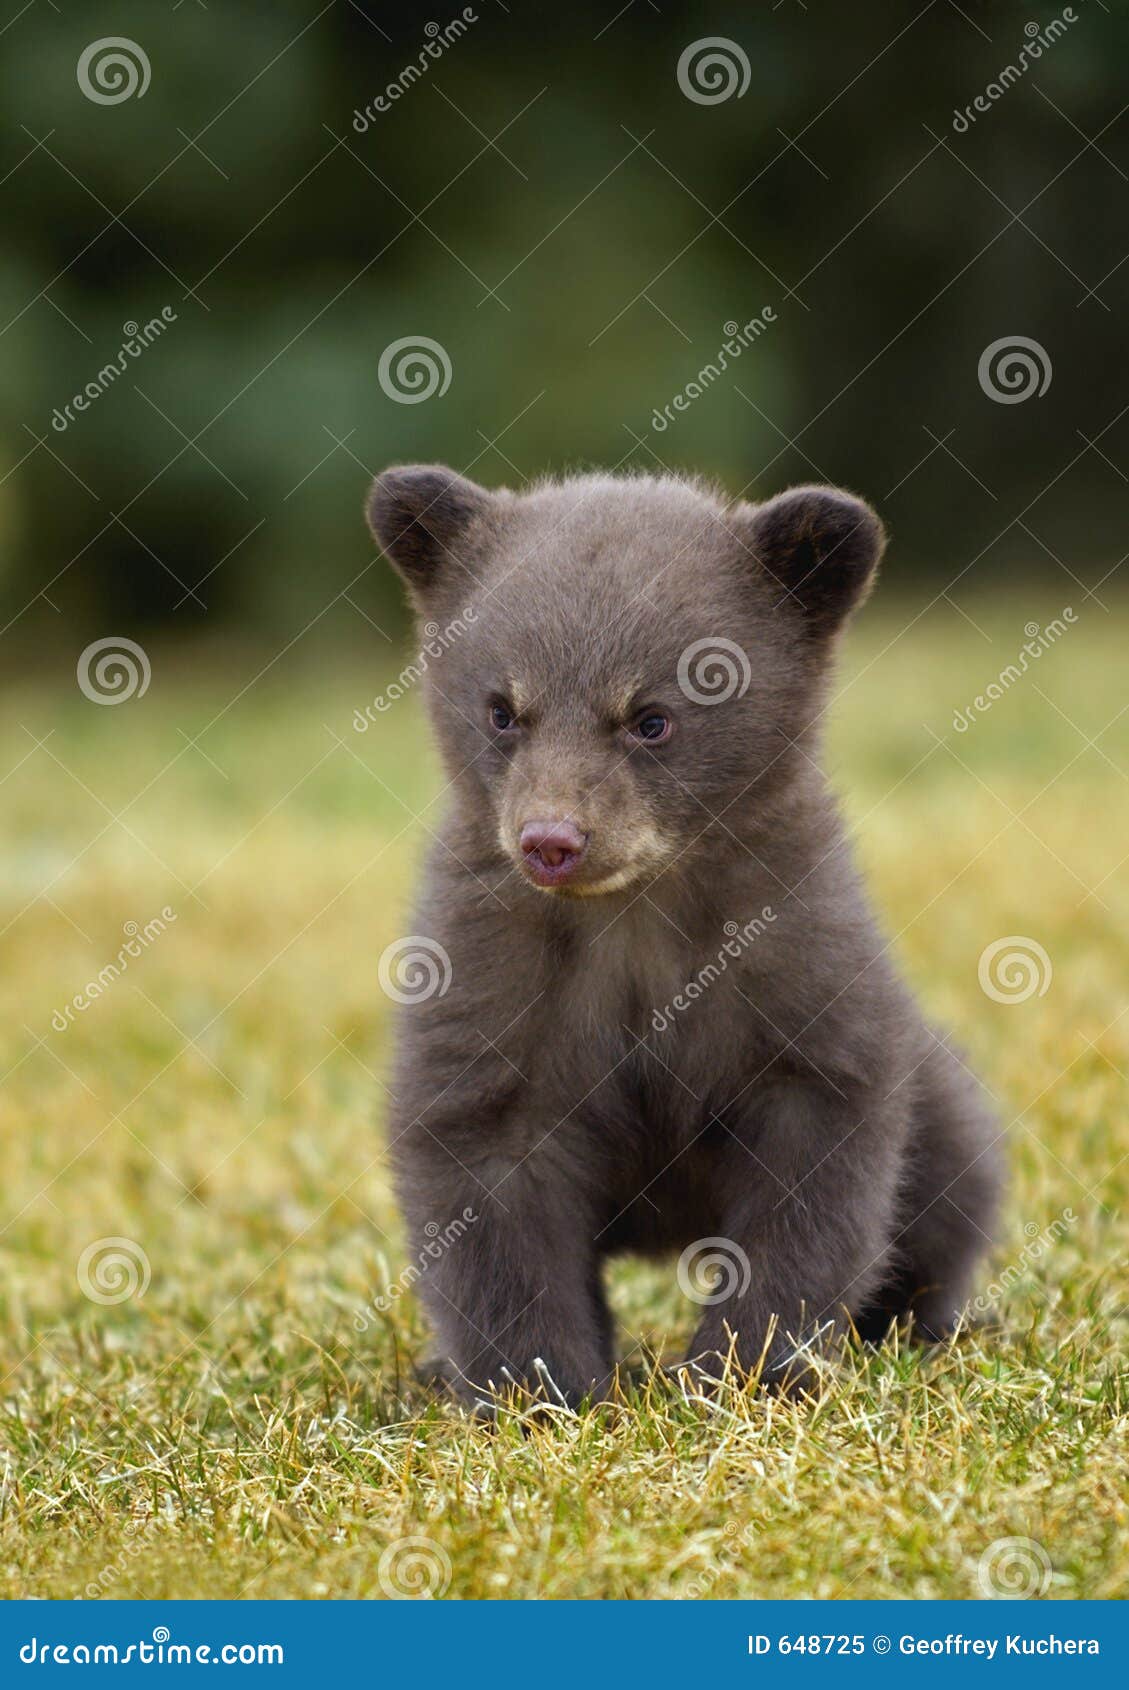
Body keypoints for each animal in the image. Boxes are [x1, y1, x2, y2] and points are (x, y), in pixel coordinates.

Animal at [364, 464, 1002, 1408]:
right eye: (502, 711)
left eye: (651, 718)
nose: (551, 841)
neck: (633, 910)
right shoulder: (487, 972)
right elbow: (486, 1174)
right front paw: (542, 1389)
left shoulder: (797, 958)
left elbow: (818, 1169)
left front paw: (740, 1369)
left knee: (950, 1185)